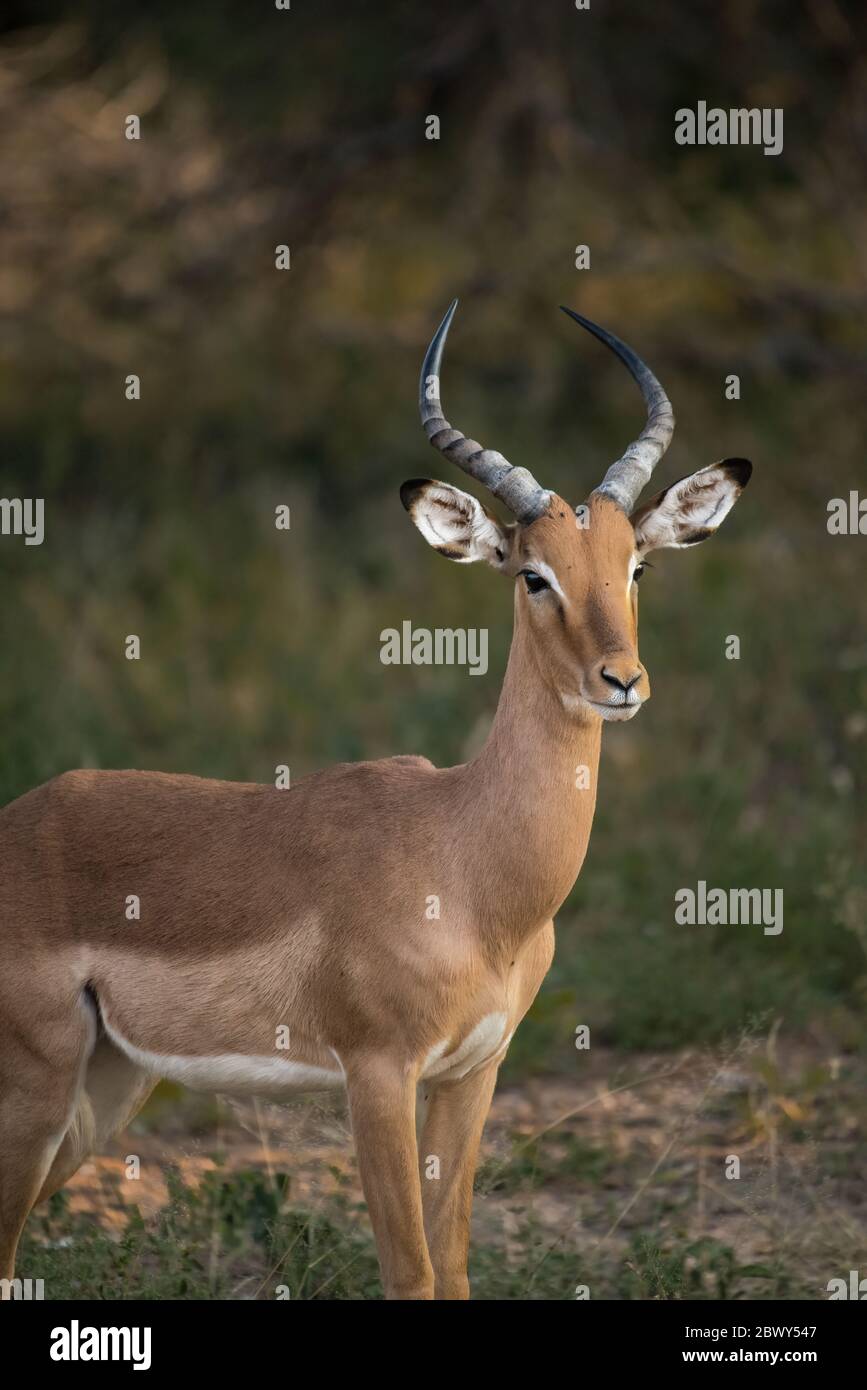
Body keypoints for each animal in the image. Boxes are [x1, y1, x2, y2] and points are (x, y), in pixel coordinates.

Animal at [0, 302, 751, 1300]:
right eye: (532, 573)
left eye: (635, 565)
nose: (620, 681)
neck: (469, 867)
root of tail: (18, 821)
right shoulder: (377, 1075)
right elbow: (413, 1275)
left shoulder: (472, 1075)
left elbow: (455, 1268)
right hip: (37, 1087)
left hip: (107, 1089)